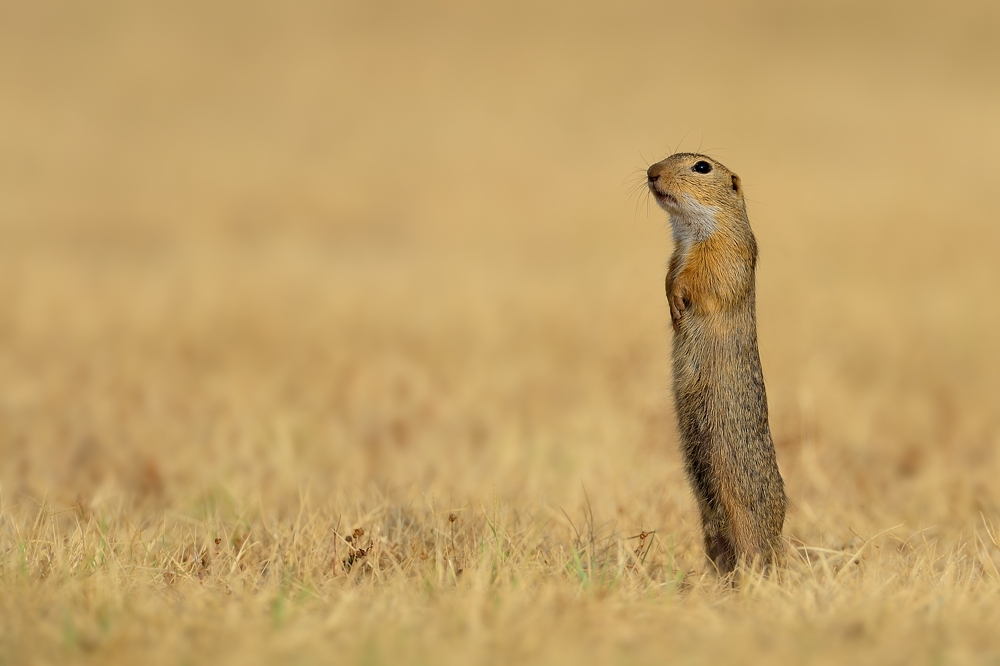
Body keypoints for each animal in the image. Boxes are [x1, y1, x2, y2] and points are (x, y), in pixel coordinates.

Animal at [648, 152, 788, 572]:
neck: (692, 232)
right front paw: (671, 308)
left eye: (702, 167)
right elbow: (668, 276)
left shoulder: (721, 256)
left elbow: (696, 281)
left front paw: (678, 306)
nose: (651, 173)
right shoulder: (675, 256)